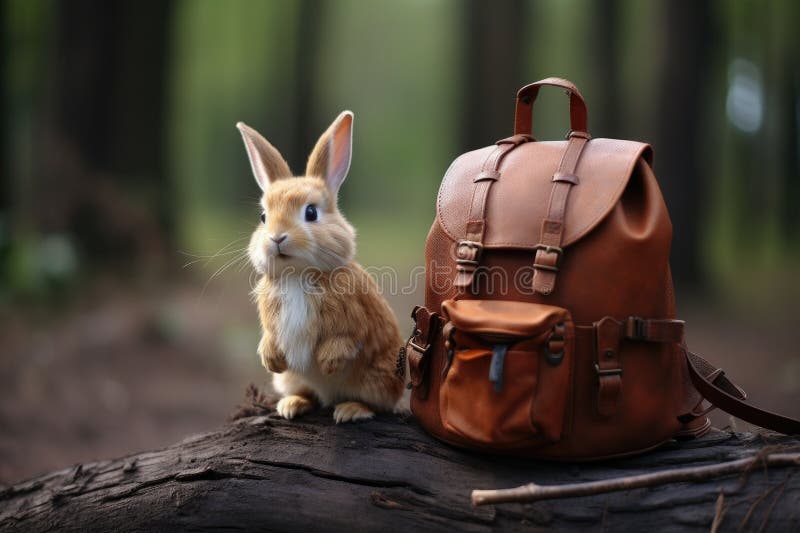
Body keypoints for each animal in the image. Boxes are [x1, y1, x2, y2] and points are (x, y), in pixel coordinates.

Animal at [236, 111, 406, 423]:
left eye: (311, 212)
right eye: (263, 216)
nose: (276, 237)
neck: (297, 275)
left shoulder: (353, 317)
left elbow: (347, 339)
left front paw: (327, 363)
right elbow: (270, 336)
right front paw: (271, 358)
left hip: (377, 378)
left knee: (378, 404)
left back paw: (350, 410)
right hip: (291, 379)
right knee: (307, 393)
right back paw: (291, 405)